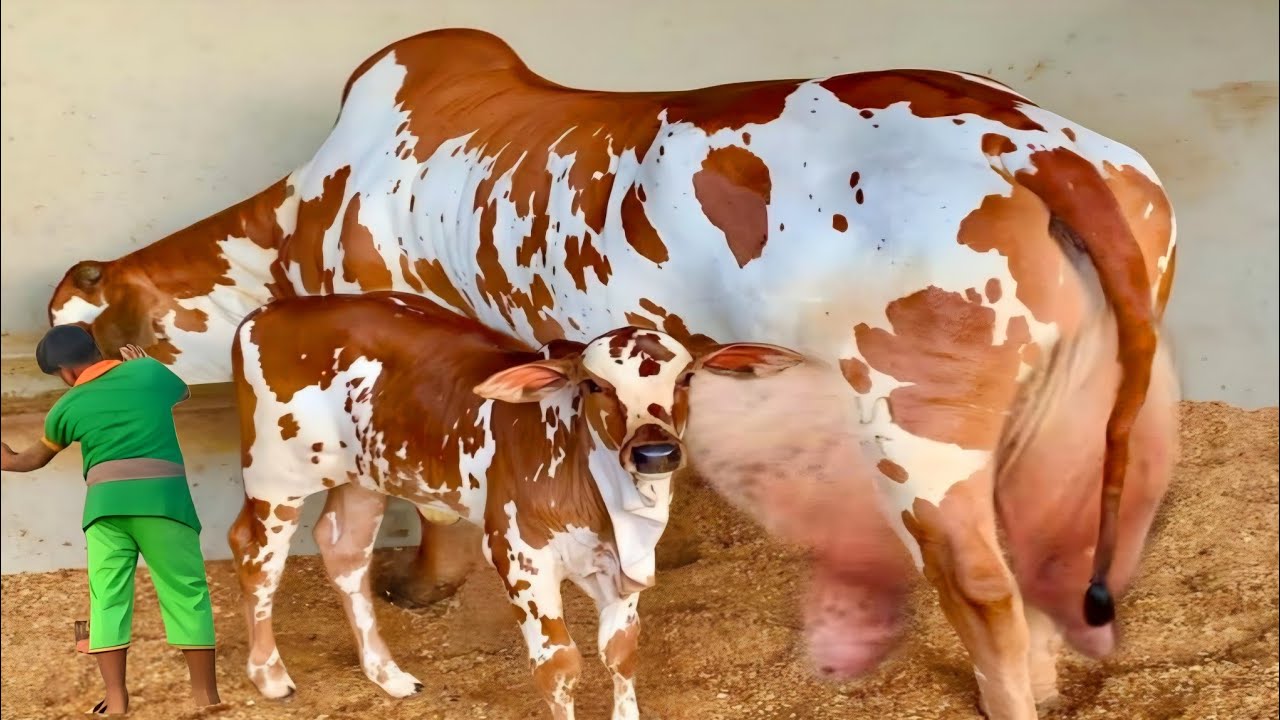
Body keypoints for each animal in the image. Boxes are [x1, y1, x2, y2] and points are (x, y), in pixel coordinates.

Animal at [226, 290, 804, 719]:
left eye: (686, 377)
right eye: (593, 385)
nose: (654, 451)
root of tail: (267, 312)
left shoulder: (622, 567)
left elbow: (622, 652)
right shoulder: (520, 556)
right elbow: (559, 665)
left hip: (363, 477)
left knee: (344, 552)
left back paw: (388, 675)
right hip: (276, 477)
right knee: (255, 555)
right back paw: (270, 675)